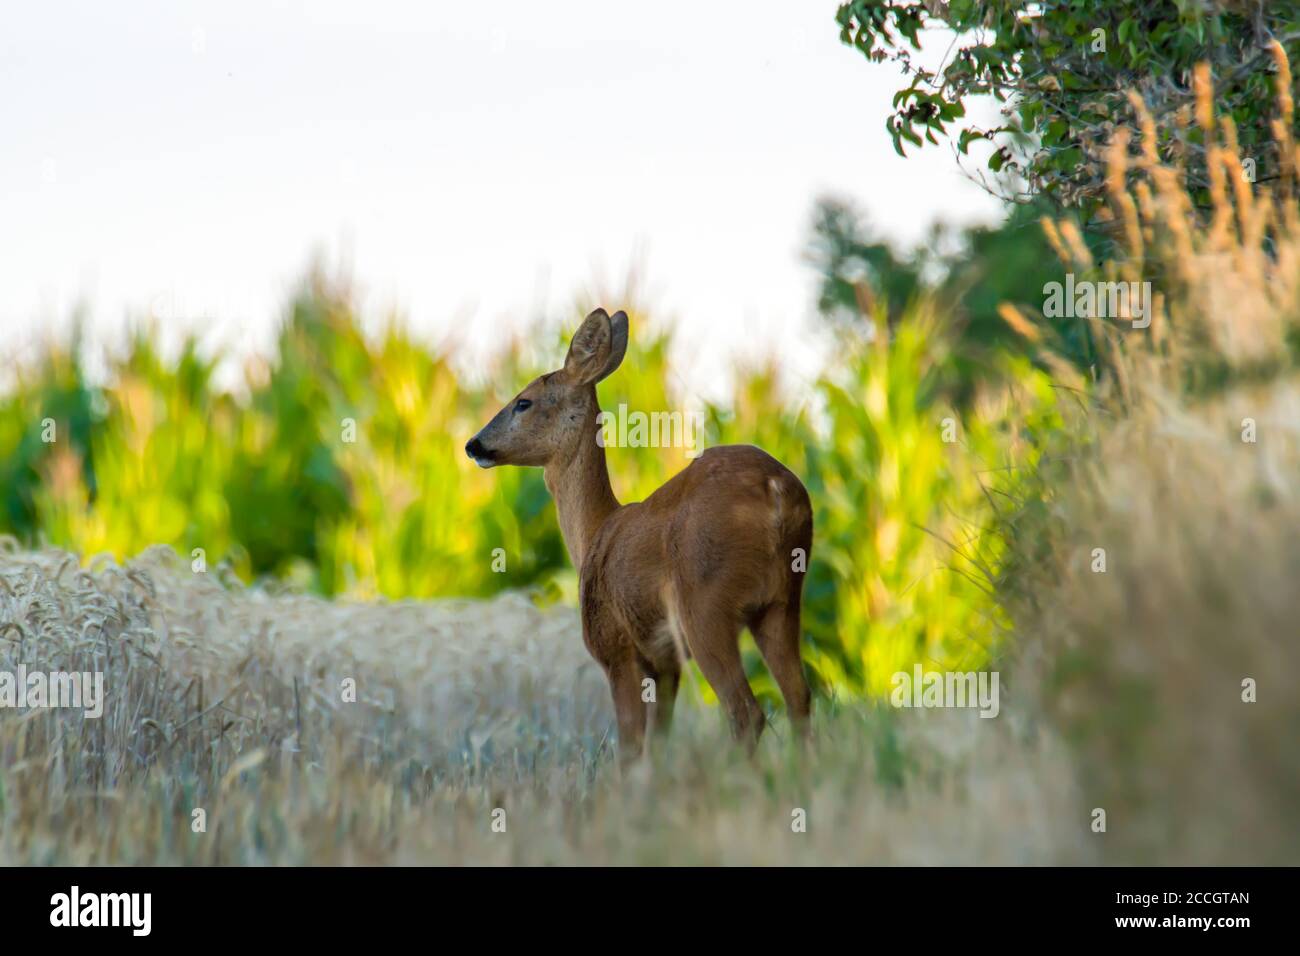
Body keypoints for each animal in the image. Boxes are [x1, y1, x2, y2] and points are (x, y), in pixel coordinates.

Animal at [465, 308, 813, 761]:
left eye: (523, 401)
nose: (474, 444)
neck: (594, 532)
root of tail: (776, 490)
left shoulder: (615, 646)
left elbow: (630, 747)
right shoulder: (664, 665)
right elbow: (658, 743)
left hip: (704, 604)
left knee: (745, 711)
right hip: (783, 601)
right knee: (799, 698)